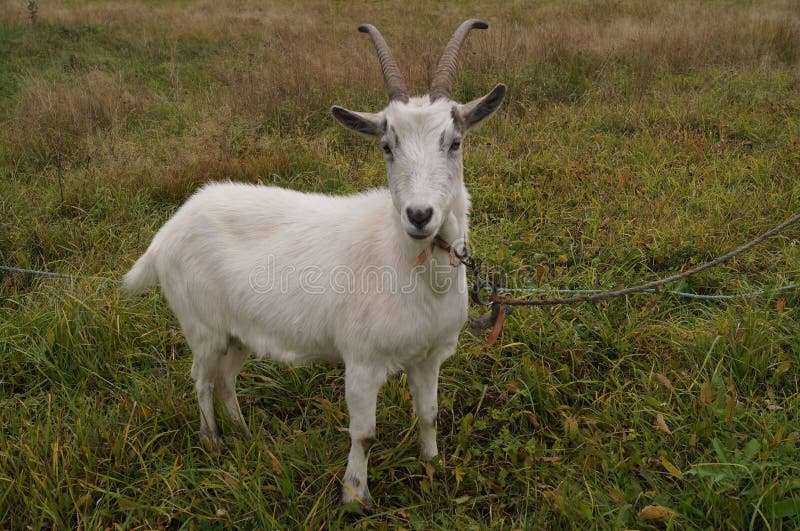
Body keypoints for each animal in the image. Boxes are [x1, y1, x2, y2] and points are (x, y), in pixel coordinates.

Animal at [123, 19, 505, 509]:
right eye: (386, 146)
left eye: (455, 142)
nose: (420, 215)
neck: (407, 268)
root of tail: (167, 232)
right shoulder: (361, 360)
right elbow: (364, 435)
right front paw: (355, 498)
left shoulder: (429, 356)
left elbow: (429, 416)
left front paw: (433, 471)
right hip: (202, 326)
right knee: (201, 379)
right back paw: (213, 442)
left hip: (240, 332)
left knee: (225, 379)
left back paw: (245, 434)